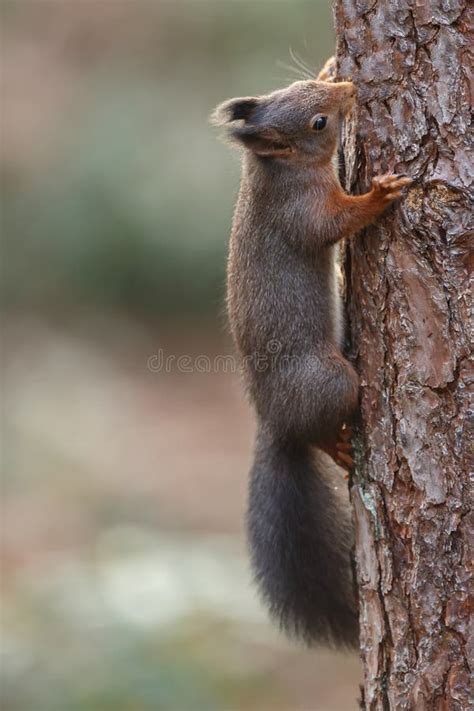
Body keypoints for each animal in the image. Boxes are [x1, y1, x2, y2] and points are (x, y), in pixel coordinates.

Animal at [211, 66, 412, 648]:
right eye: (319, 123)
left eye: (301, 86)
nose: (349, 90)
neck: (270, 173)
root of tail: (273, 420)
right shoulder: (301, 212)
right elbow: (333, 225)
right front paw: (380, 195)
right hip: (331, 379)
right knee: (319, 430)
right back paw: (338, 446)